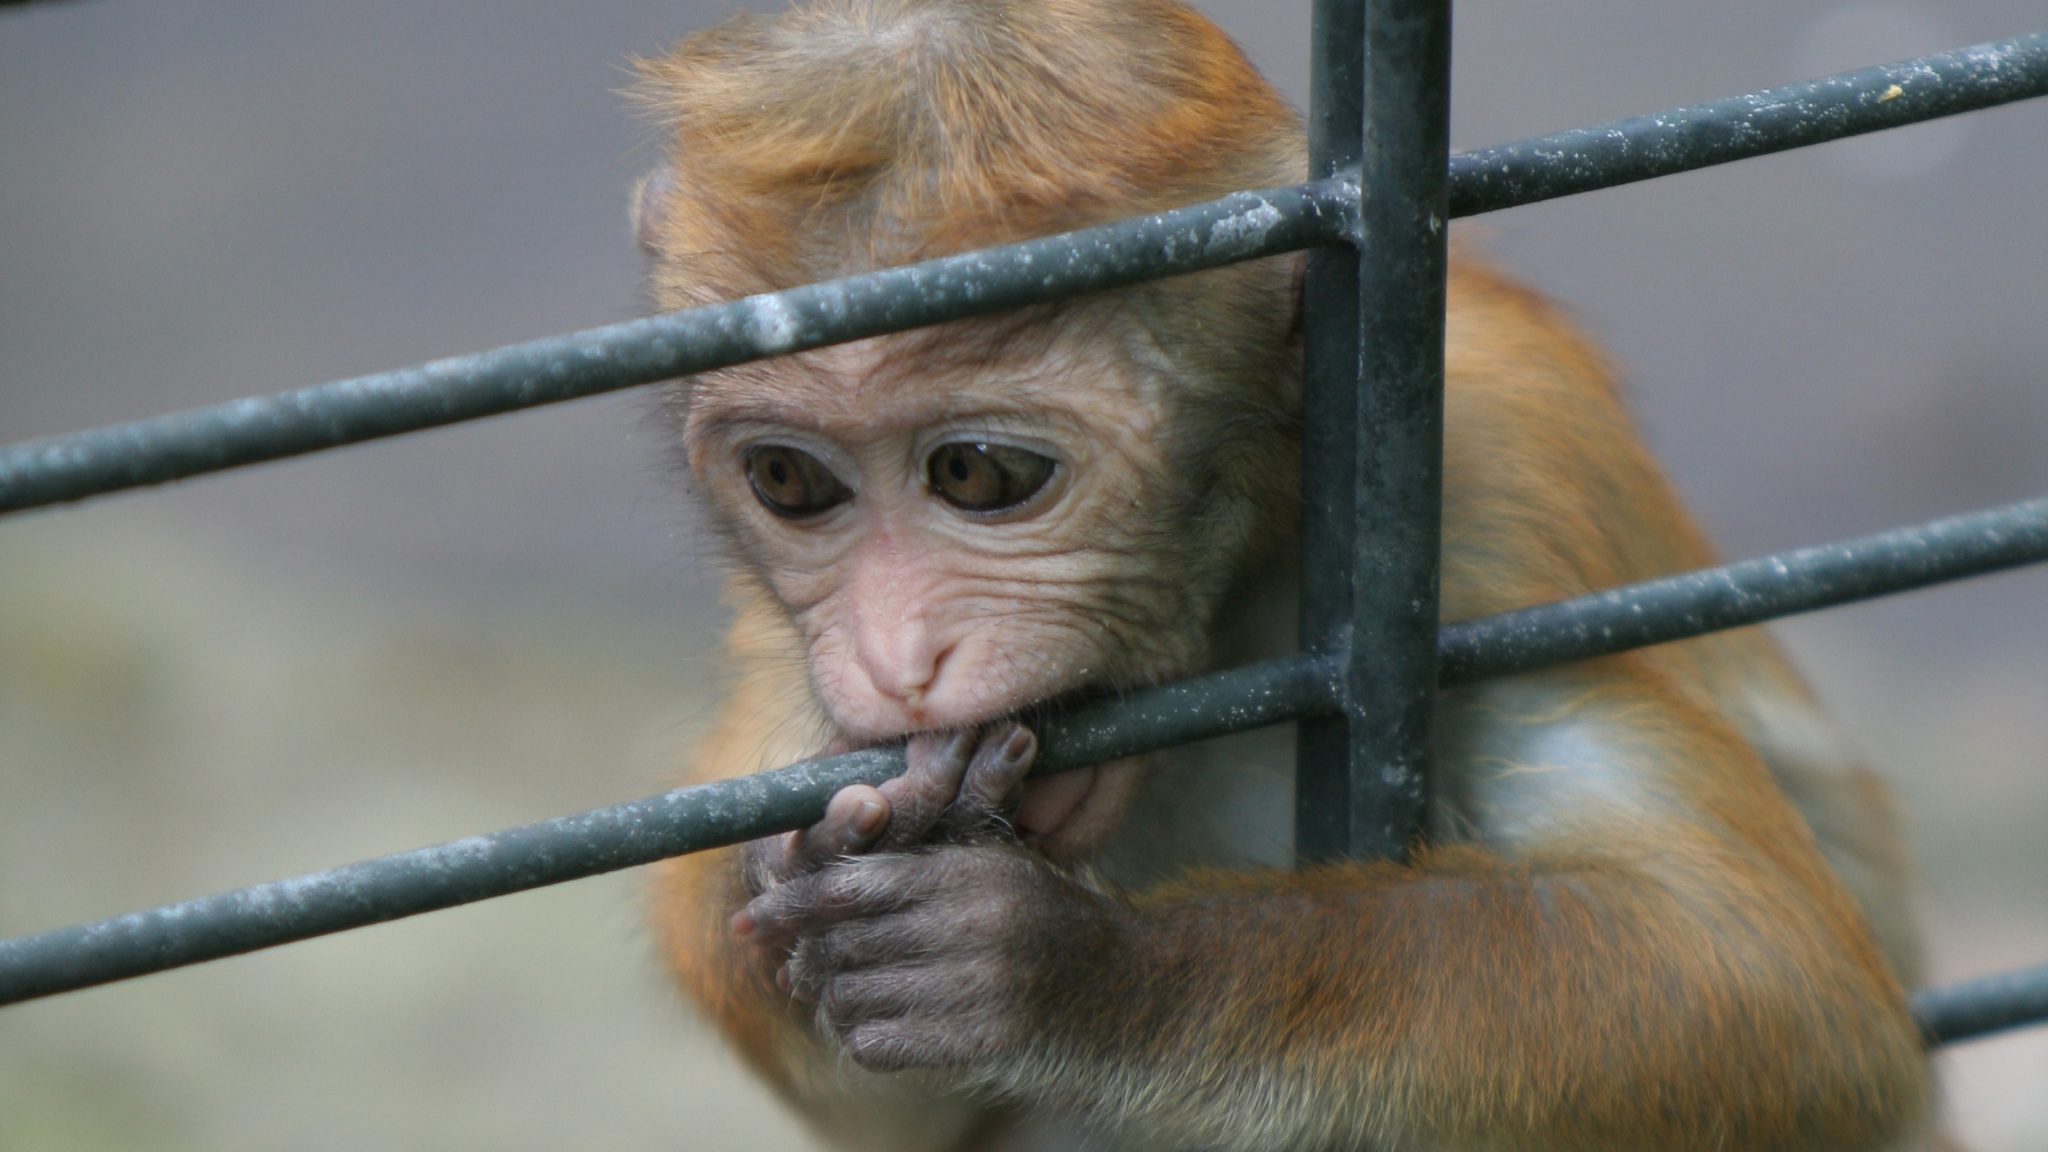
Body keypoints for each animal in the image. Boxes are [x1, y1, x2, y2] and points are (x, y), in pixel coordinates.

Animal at [631, 1, 1934, 1149]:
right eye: (789, 481)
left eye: (978, 473)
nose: (900, 659)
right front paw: (812, 862)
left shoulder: (1497, 498)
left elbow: (1767, 980)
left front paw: (1074, 972)